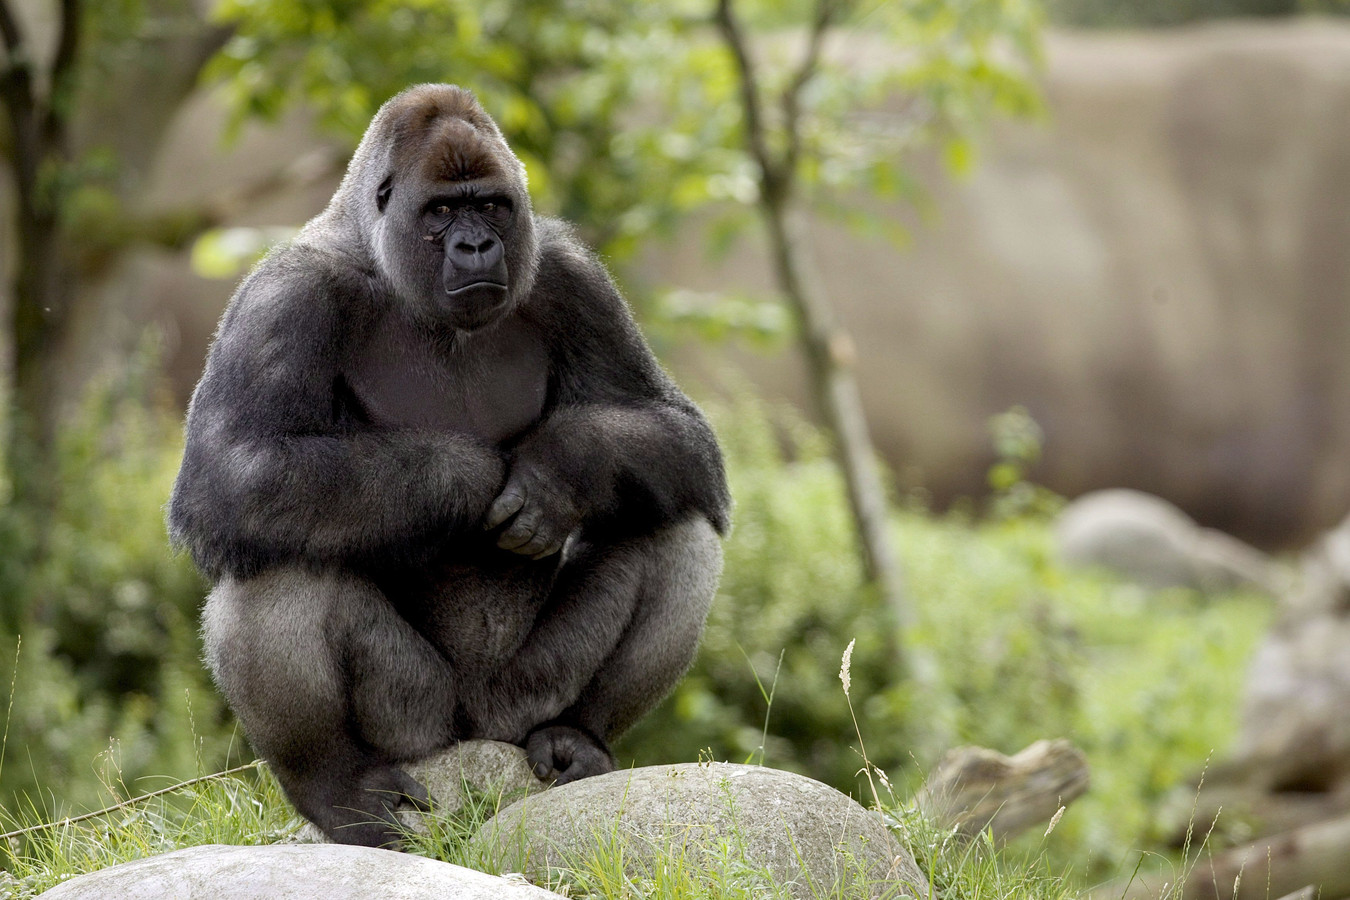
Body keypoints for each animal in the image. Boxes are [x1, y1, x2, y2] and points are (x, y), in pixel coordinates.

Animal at [168, 84, 730, 848]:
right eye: (440, 212)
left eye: (489, 205)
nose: (476, 245)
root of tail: (473, 737)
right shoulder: (287, 294)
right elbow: (230, 474)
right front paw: (470, 476)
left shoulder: (572, 276)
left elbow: (680, 433)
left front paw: (558, 471)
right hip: (415, 721)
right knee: (272, 557)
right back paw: (333, 785)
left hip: (519, 702)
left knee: (676, 527)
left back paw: (579, 733)